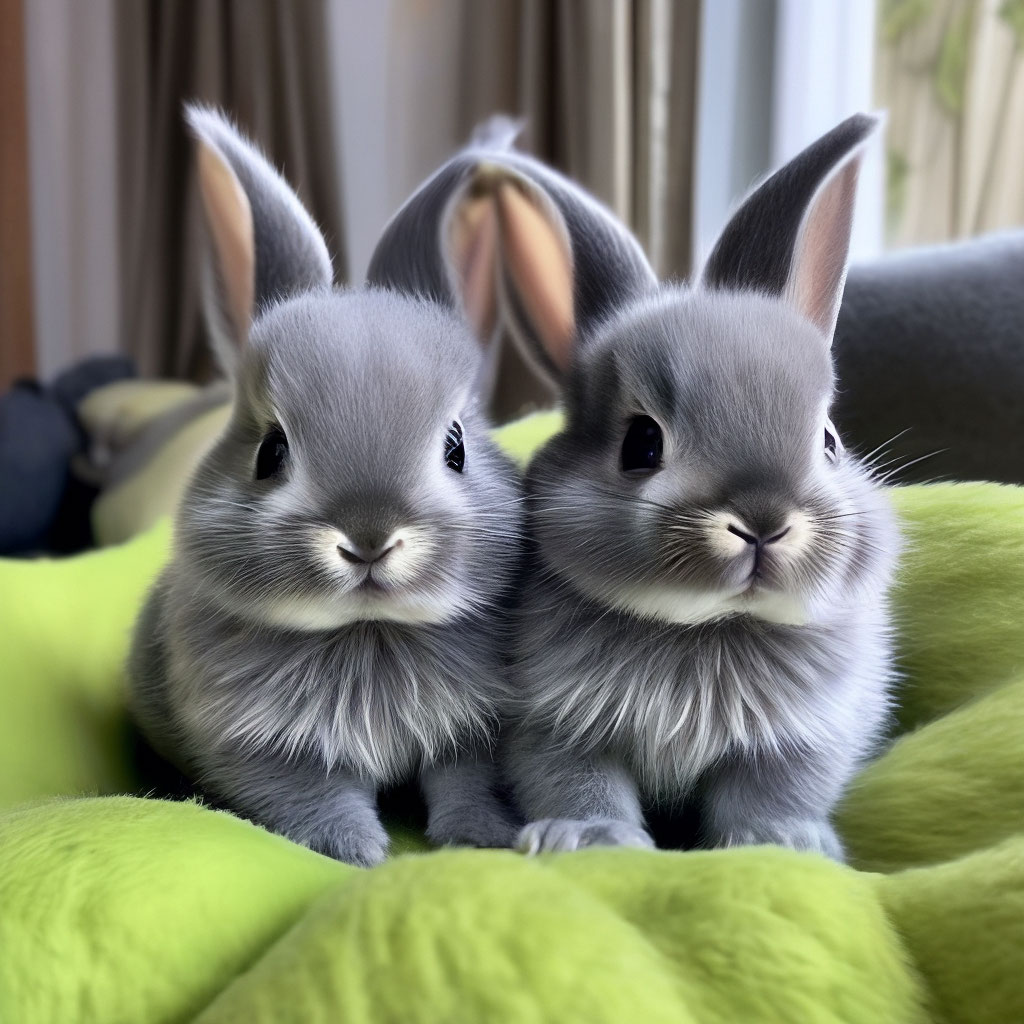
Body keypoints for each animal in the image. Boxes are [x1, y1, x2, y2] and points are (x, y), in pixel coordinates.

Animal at [127, 106, 525, 867]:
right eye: (270, 451)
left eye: (457, 446)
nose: (368, 537)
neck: (368, 629)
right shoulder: (269, 753)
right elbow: (319, 802)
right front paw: (360, 853)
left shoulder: (477, 737)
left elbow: (465, 786)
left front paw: (479, 839)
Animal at [390, 112, 899, 861]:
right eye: (642, 444)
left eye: (829, 440)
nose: (763, 519)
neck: (709, 625)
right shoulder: (555, 727)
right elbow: (579, 782)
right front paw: (588, 839)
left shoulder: (800, 739)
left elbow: (771, 793)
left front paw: (778, 843)